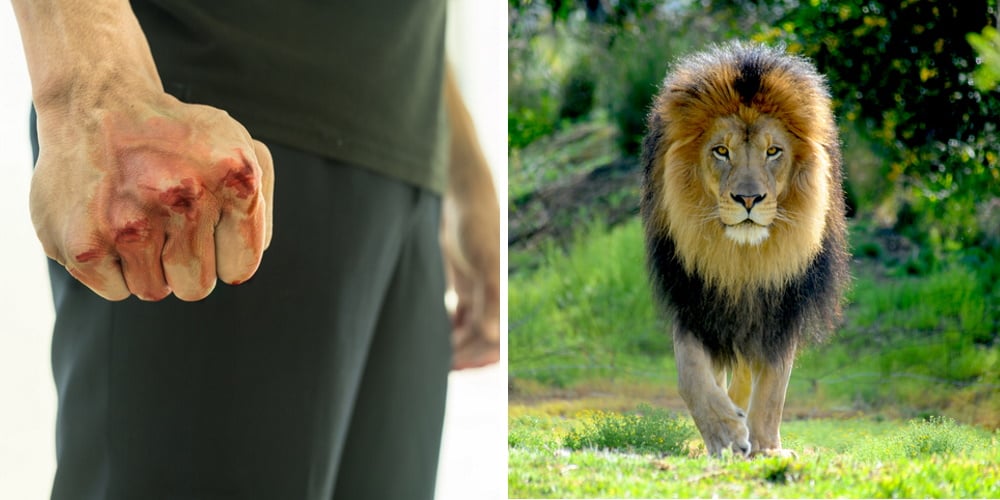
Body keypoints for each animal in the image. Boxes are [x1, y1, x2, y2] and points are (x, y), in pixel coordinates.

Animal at [640, 42, 849, 457]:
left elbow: (772, 389)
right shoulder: (694, 297)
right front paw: (724, 434)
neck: (742, 260)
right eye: (721, 151)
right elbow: (691, 374)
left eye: (774, 151)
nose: (748, 199)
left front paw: (766, 447)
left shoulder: (783, 307)